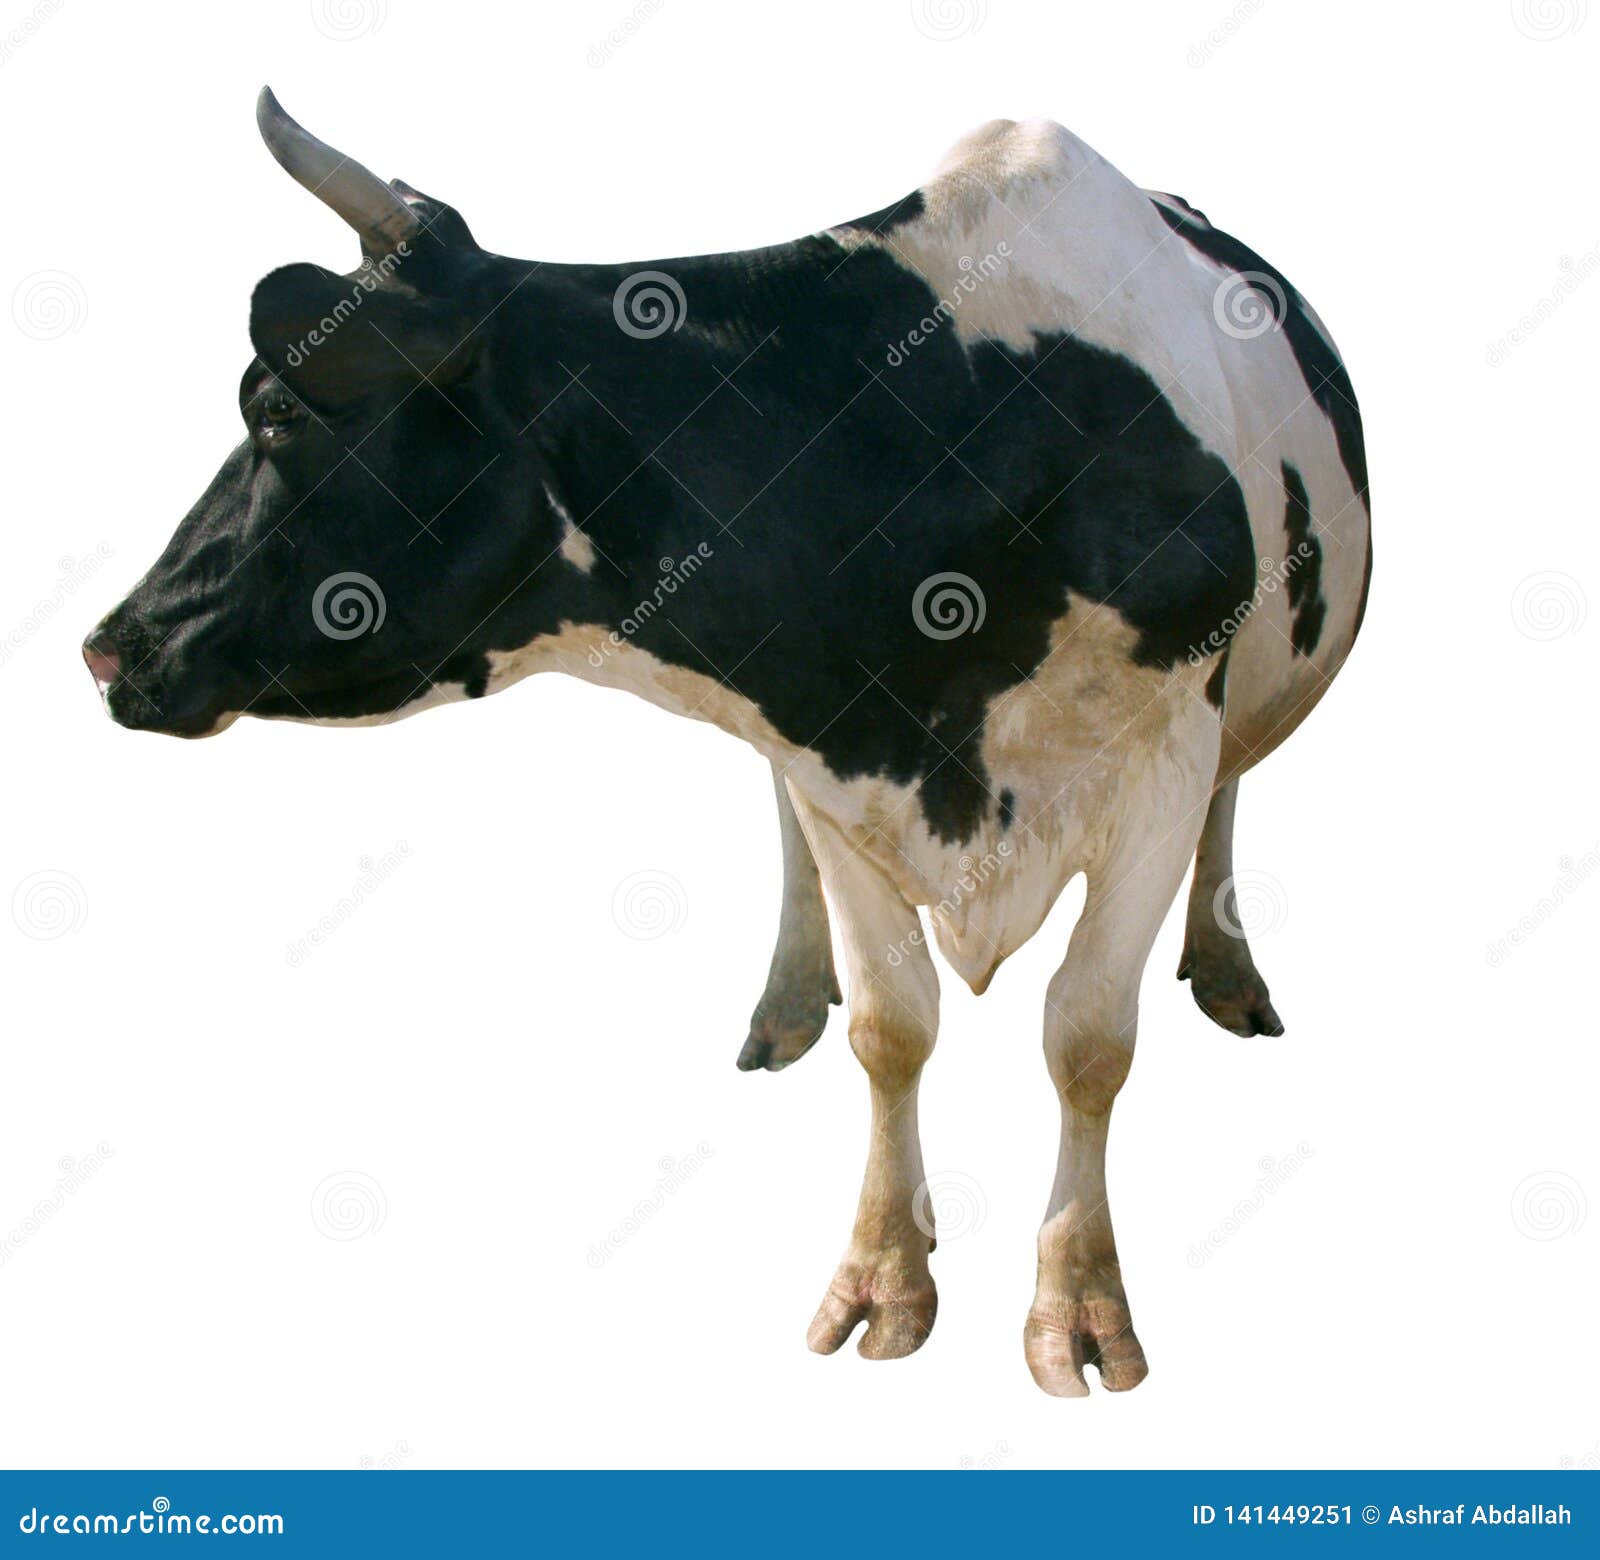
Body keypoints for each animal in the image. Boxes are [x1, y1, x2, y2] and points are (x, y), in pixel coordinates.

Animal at [84, 90, 1370, 1396]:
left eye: (274, 410)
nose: (111, 647)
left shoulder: (1161, 759)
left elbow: (1088, 1038)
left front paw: (1079, 1304)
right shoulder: (830, 752)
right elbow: (891, 1026)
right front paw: (884, 1275)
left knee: (1234, 791)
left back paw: (1227, 969)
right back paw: (788, 999)